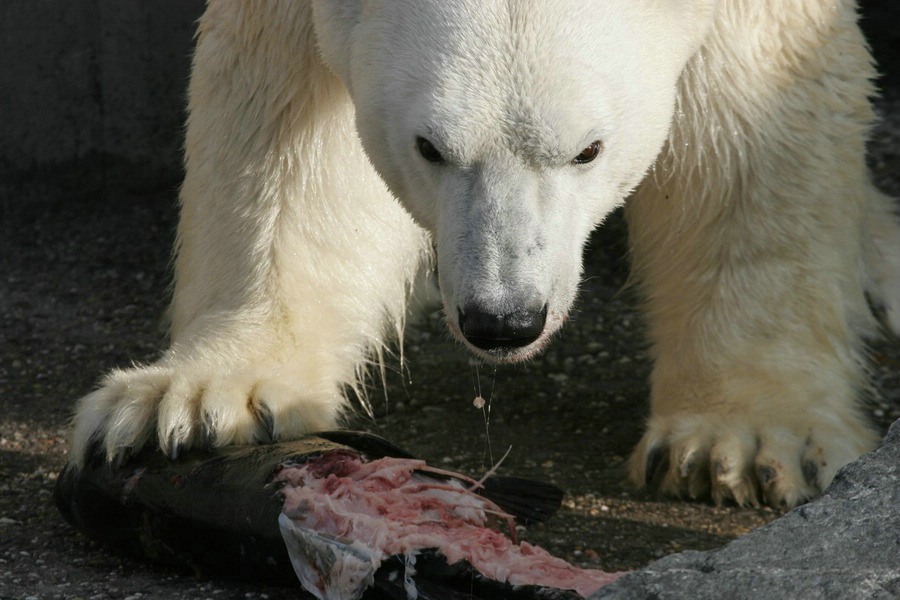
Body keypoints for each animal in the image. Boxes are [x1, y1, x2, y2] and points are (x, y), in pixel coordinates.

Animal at [69, 0, 900, 509]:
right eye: (430, 147)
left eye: (588, 150)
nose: (505, 319)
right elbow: (290, 132)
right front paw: (197, 401)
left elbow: (755, 124)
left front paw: (738, 442)